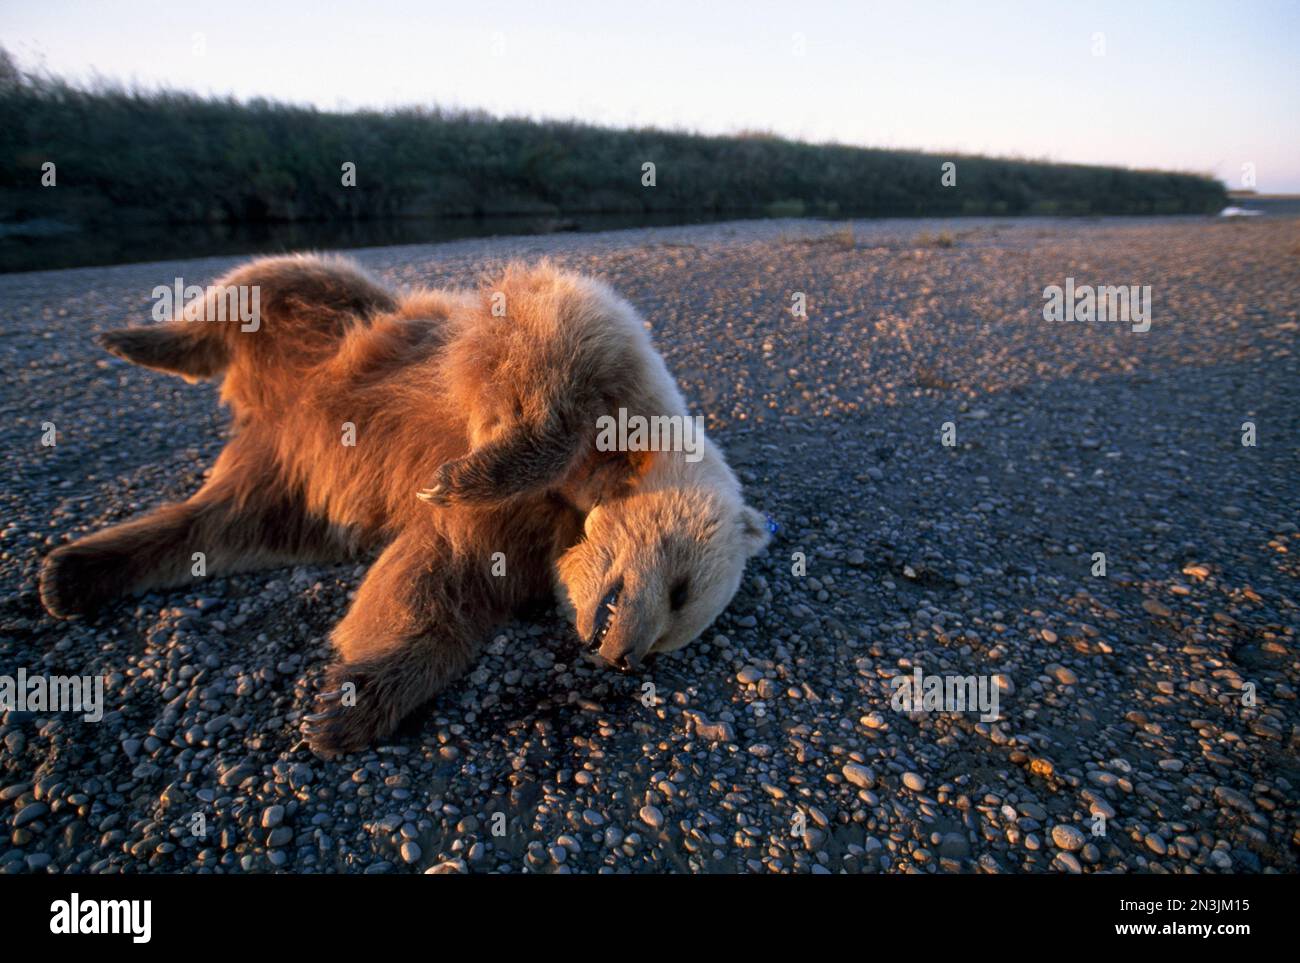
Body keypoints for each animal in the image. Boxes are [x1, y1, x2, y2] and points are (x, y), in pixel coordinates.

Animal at [38, 253, 769, 756]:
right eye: (680, 590)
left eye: (670, 642)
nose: (623, 658)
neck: (581, 500)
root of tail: (259, 414)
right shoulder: (598, 362)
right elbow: (550, 353)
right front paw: (467, 473)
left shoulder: (512, 544)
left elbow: (429, 587)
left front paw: (348, 705)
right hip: (324, 318)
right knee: (263, 286)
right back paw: (131, 338)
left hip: (282, 489)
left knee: (216, 526)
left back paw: (72, 573)